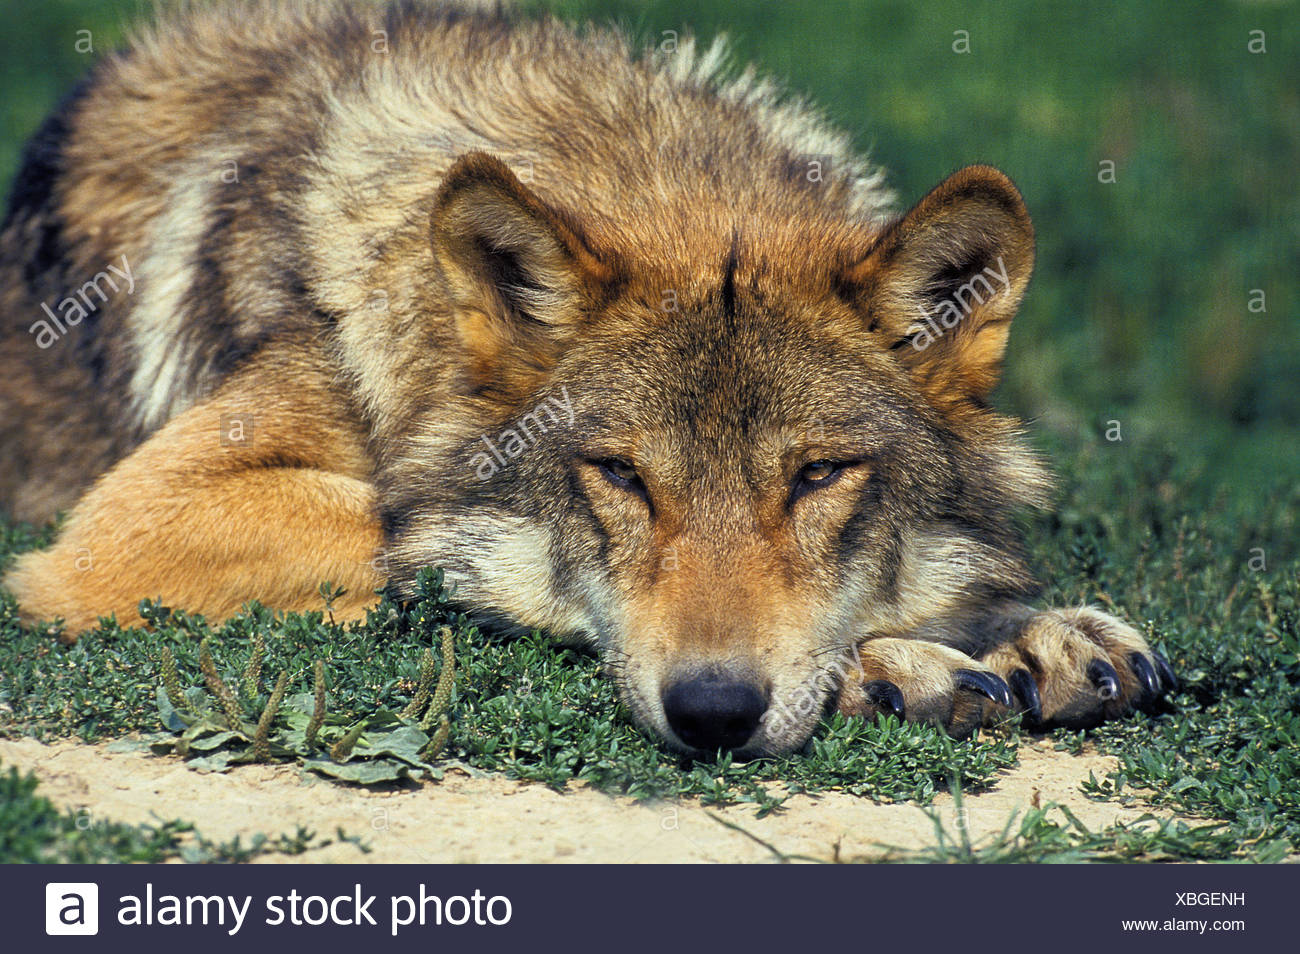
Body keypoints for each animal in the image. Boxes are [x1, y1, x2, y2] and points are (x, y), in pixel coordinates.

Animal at [0, 0, 1175, 757]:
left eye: (816, 477)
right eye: (619, 476)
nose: (714, 711)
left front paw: (1027, 625)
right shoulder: (119, 532)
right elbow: (420, 541)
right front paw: (897, 662)